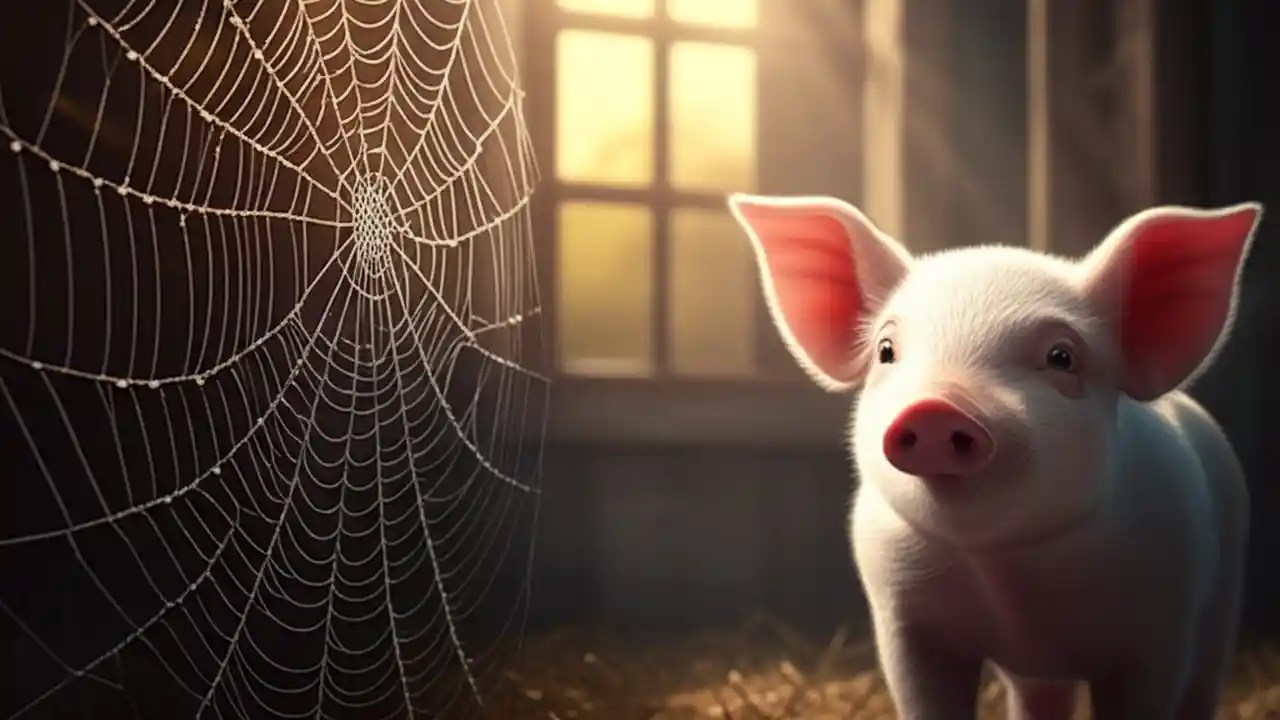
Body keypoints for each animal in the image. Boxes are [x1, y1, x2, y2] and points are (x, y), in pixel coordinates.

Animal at [727, 193, 1263, 720]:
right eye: (885, 350)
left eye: (1061, 357)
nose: (936, 407)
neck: (1005, 573)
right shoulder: (905, 623)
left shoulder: (1160, 629)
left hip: (1222, 602)